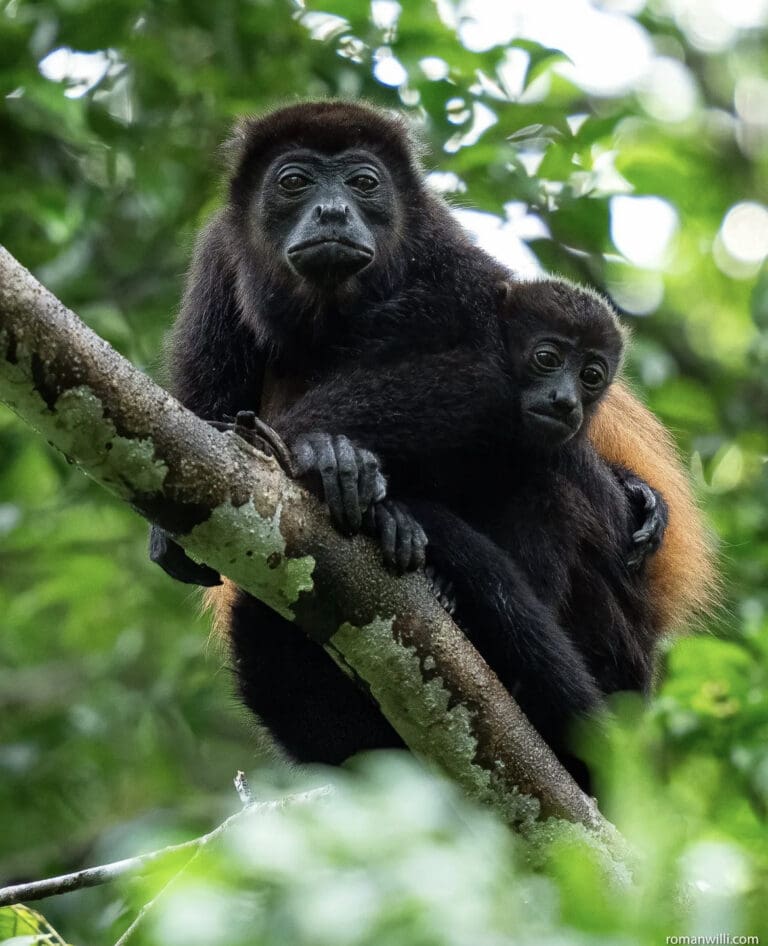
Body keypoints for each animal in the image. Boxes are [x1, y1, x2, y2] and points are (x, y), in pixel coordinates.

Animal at [149, 101, 716, 765]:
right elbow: (207, 414)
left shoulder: (449, 265)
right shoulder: (218, 254)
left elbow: (483, 379)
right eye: (294, 182)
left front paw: (322, 447)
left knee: (544, 474)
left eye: (363, 183)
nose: (333, 211)